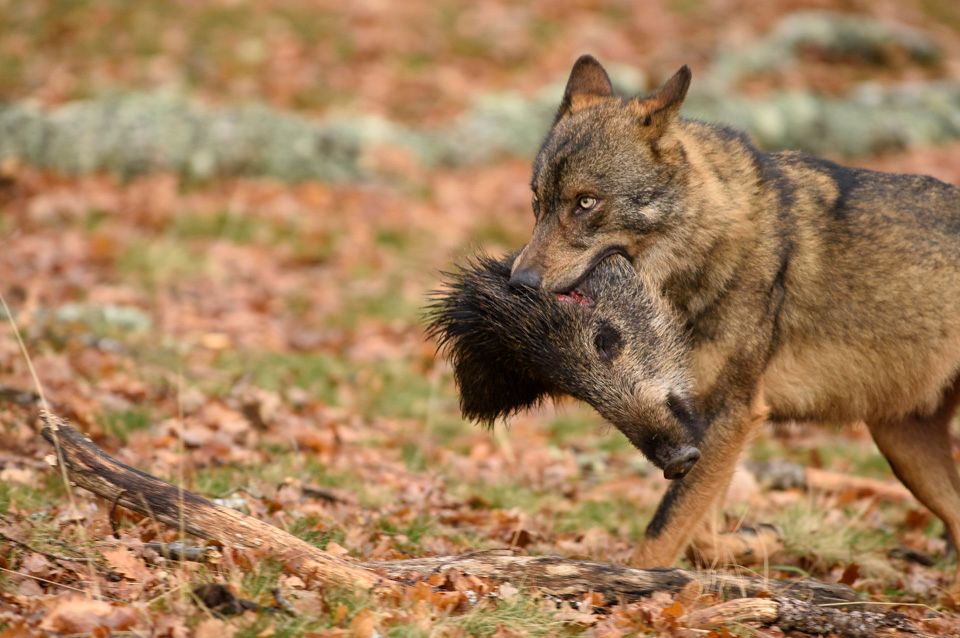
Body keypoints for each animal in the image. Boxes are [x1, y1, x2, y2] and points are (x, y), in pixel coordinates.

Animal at [508, 55, 960, 582]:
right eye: (537, 202)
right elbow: (700, 530)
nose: (518, 281)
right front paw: (752, 543)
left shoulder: (734, 412)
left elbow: (664, 531)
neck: (707, 245)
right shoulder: (712, 419)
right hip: (903, 447)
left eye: (585, 202)